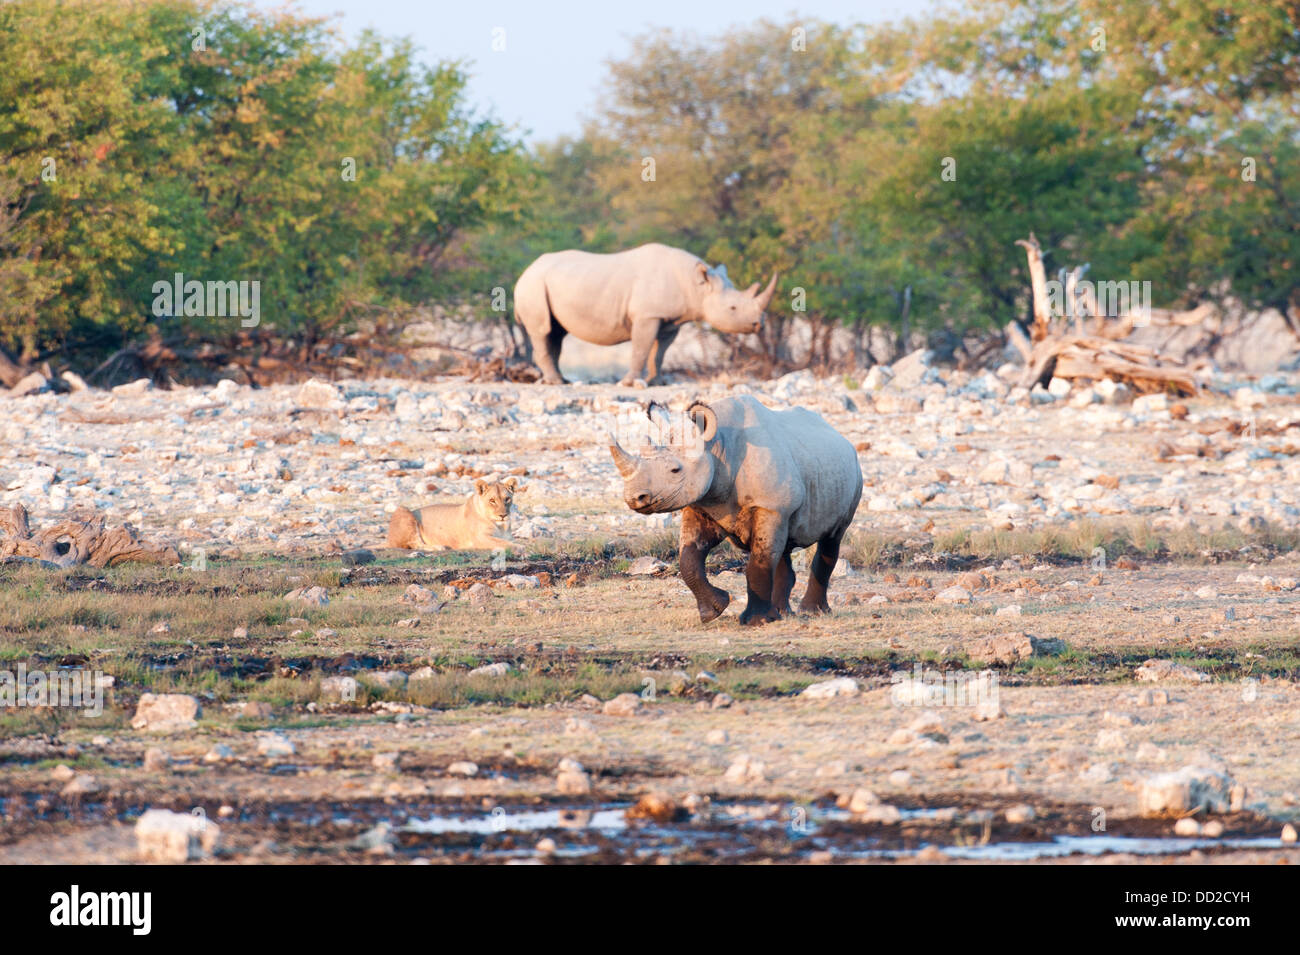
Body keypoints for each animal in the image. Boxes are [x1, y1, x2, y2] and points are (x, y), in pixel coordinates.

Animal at [514, 243, 777, 386]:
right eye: (733, 308)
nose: (759, 324)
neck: (696, 285)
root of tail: (525, 271)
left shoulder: (670, 320)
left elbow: (659, 352)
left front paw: (657, 382)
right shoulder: (647, 315)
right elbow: (641, 348)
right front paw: (631, 383)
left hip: (547, 283)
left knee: (556, 333)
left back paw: (562, 380)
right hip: (533, 285)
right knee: (542, 330)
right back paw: (555, 382)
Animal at [609, 396, 862, 625]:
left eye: (675, 470)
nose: (634, 498)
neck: (718, 447)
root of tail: (841, 436)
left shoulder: (769, 507)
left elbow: (758, 564)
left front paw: (755, 621)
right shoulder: (702, 504)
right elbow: (688, 558)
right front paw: (713, 611)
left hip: (853, 475)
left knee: (832, 538)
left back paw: (812, 612)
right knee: (783, 545)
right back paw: (781, 613)